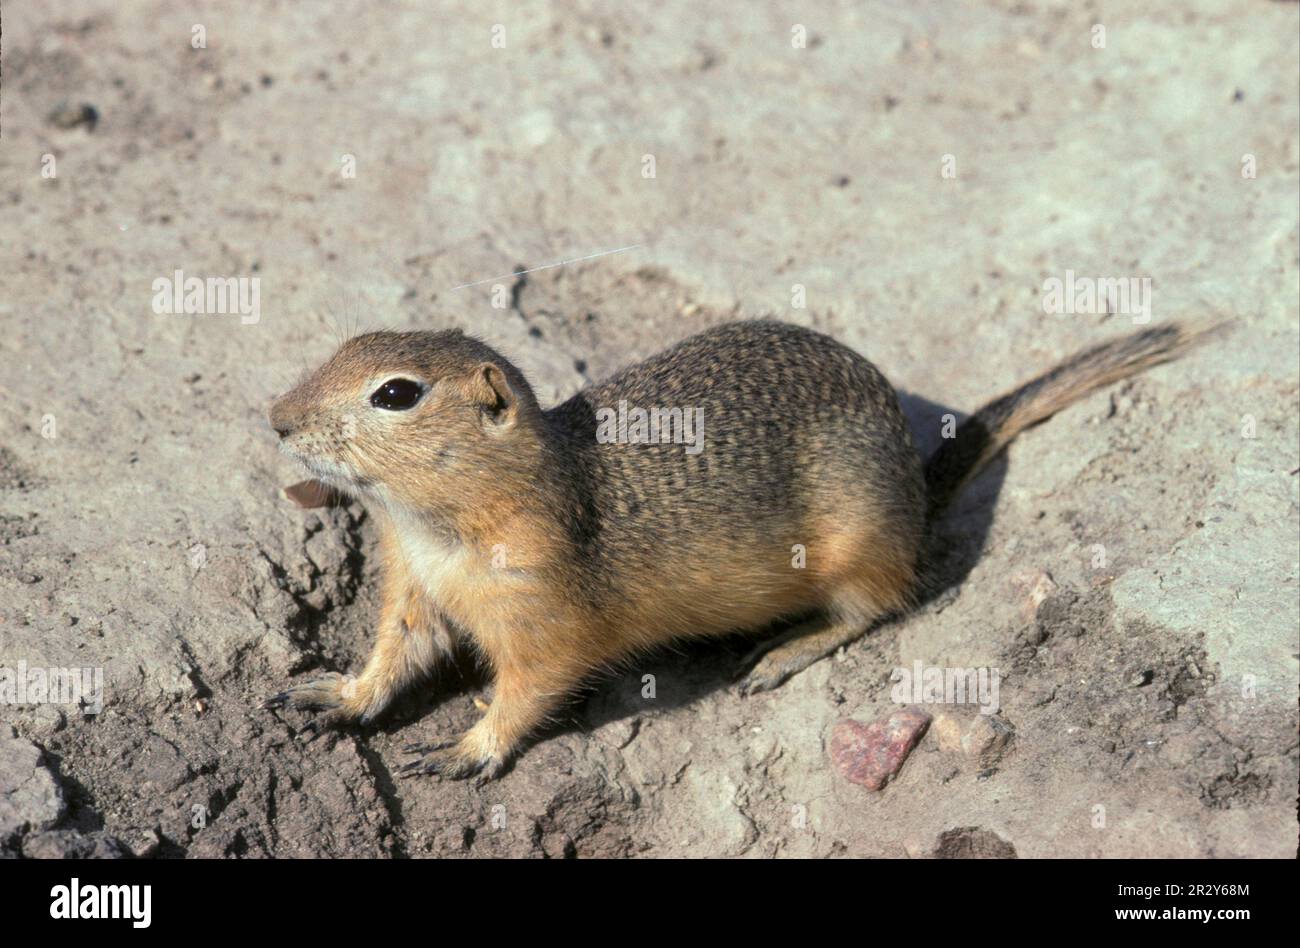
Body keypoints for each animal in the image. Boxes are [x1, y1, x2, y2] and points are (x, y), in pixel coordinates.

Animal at [265, 319, 1212, 780]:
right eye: (346, 346)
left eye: (396, 394)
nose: (275, 417)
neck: (440, 525)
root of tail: (917, 482)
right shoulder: (411, 592)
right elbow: (392, 658)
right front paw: (334, 696)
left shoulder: (545, 623)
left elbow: (528, 692)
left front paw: (469, 748)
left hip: (859, 544)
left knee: (880, 604)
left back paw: (782, 650)